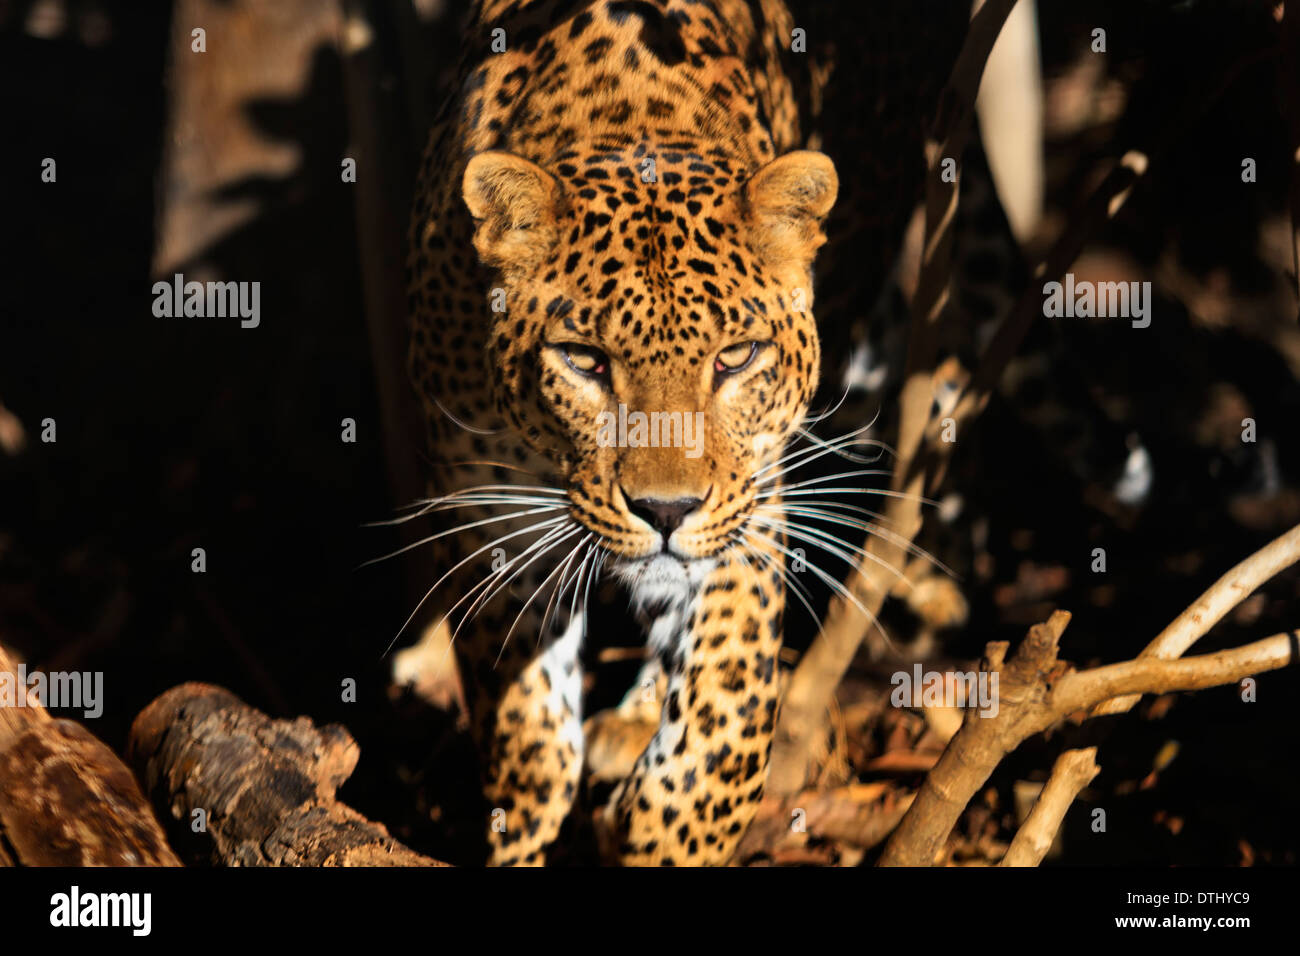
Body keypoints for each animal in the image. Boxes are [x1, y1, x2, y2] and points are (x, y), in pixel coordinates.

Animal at [404, 0, 964, 866]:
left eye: (735, 358)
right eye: (584, 360)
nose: (665, 512)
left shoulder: (749, 498)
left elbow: (722, 720)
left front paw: (658, 832)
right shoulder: (484, 505)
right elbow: (526, 725)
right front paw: (525, 834)